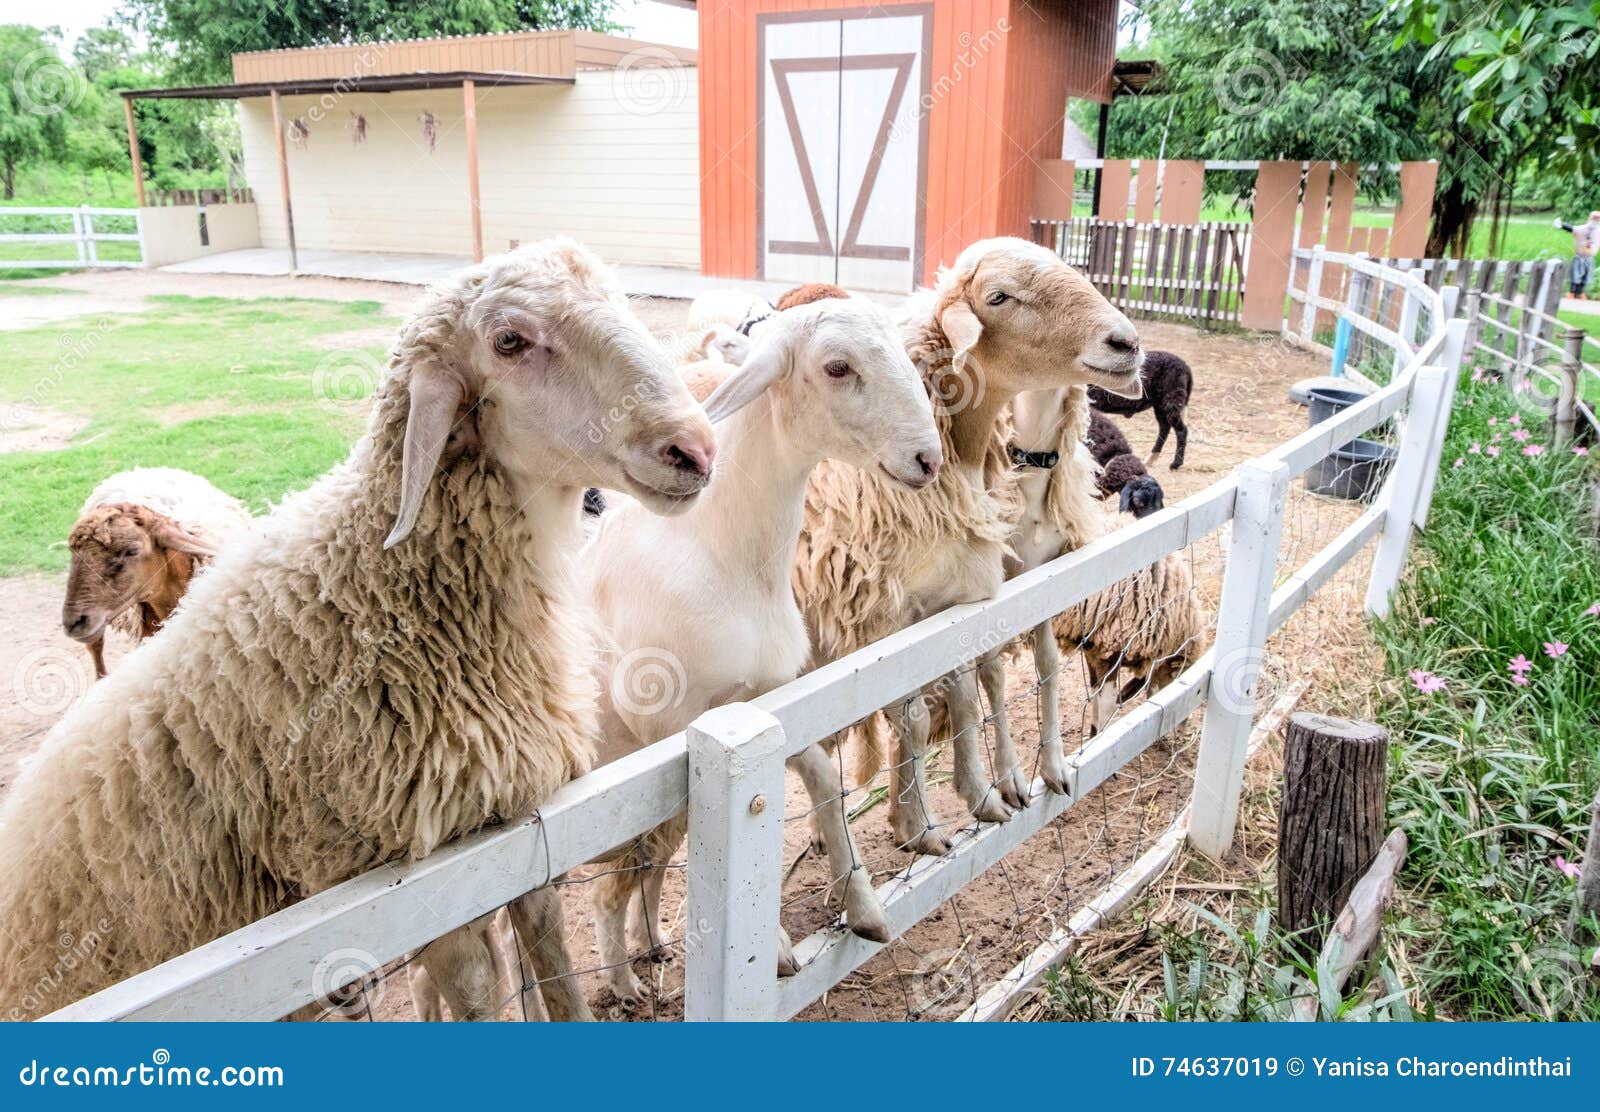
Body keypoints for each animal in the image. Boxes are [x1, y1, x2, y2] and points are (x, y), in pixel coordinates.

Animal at [795, 237, 1143, 855]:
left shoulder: (974, 596)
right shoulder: (886, 614)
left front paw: (998, 788)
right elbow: (922, 710)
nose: (1126, 343)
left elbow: (979, 683)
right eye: (998, 297)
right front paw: (925, 825)